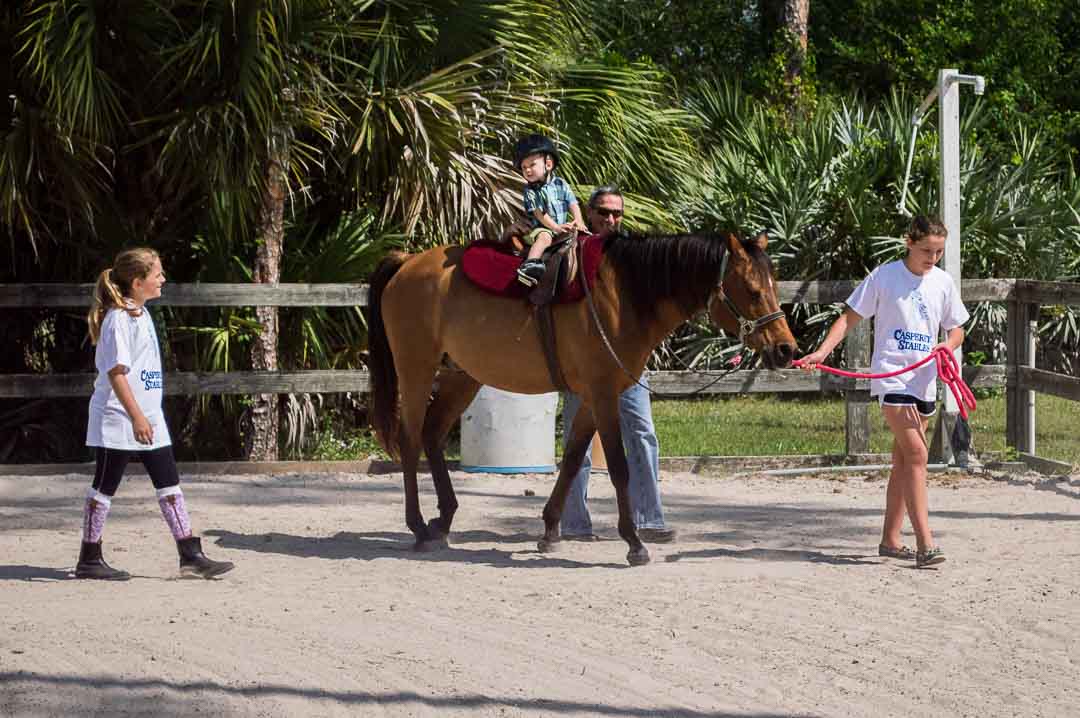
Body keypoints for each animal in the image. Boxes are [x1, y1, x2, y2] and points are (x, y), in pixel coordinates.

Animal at [366, 230, 797, 566]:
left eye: (775, 287)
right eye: (753, 292)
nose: (786, 350)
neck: (626, 295)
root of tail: (406, 263)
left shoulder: (594, 396)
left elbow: (573, 459)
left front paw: (549, 530)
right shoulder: (604, 393)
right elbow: (619, 467)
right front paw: (634, 543)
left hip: (461, 376)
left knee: (433, 434)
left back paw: (443, 520)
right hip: (416, 369)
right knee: (410, 440)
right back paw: (419, 527)